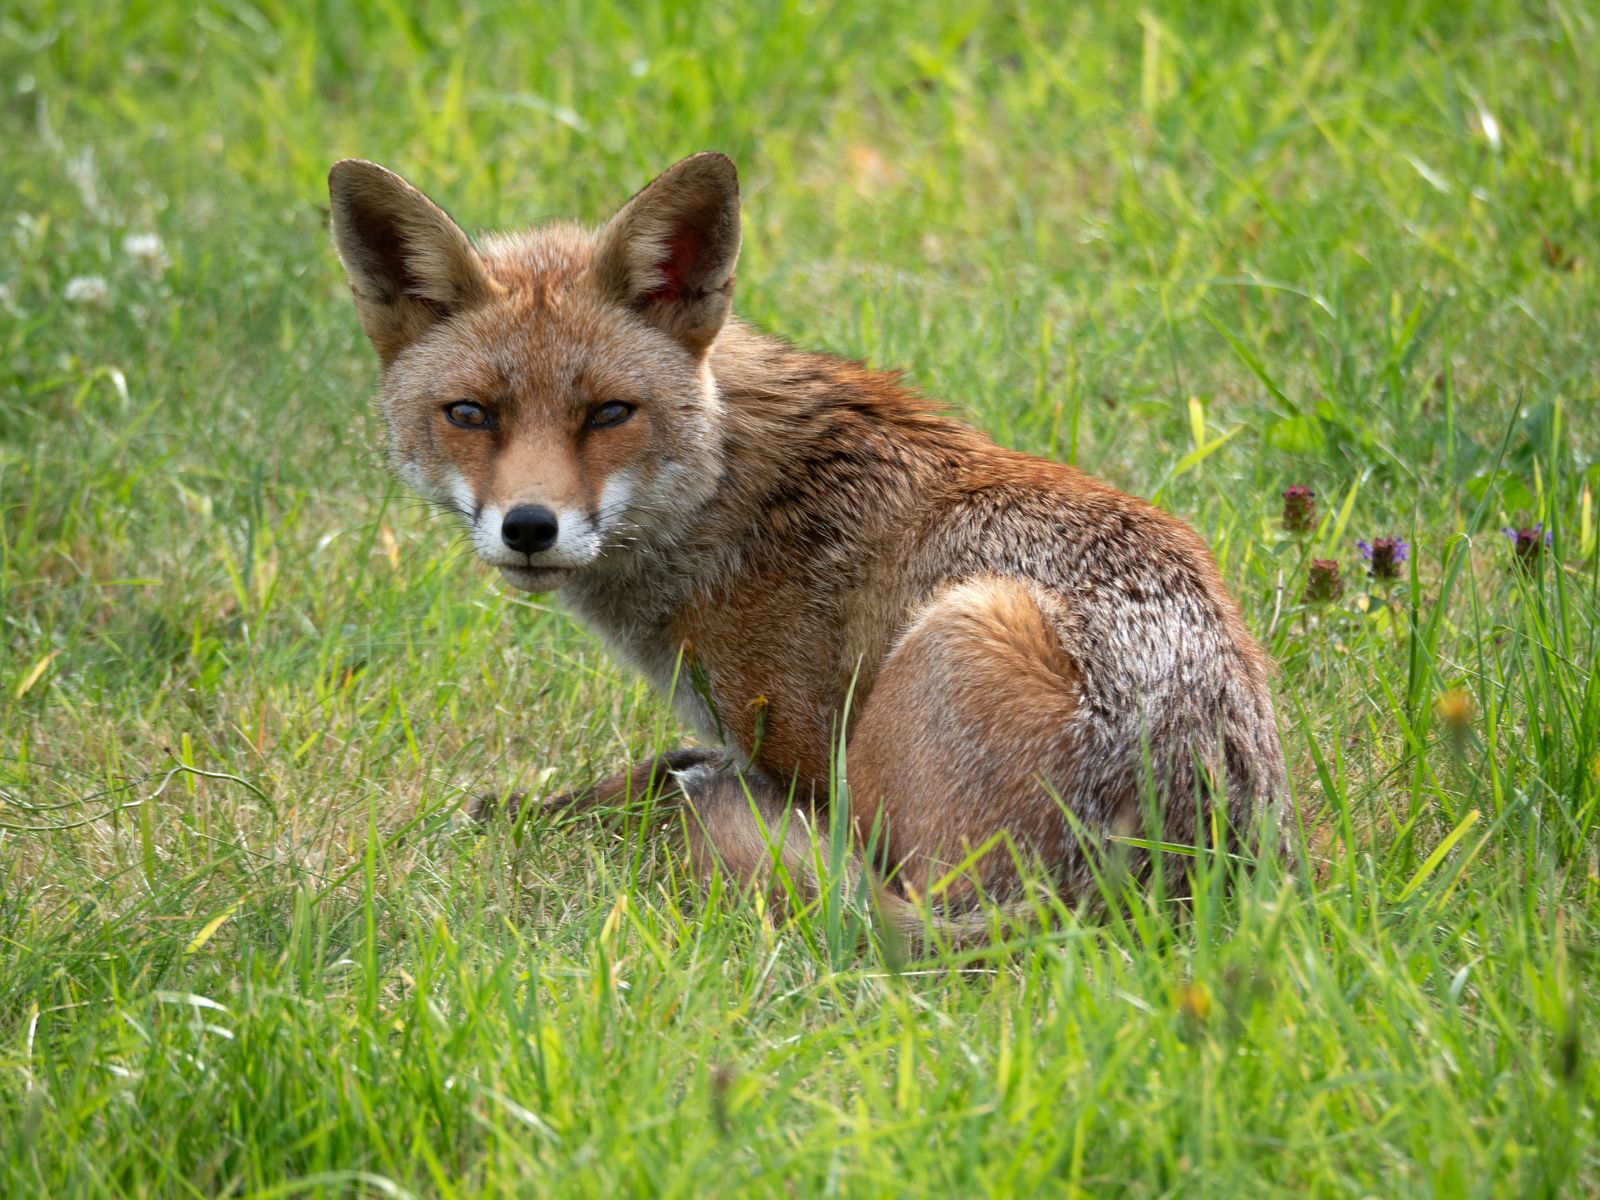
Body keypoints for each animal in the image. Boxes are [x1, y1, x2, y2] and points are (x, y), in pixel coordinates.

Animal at [328, 151, 1289, 929]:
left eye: (608, 413)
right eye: (469, 415)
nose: (530, 527)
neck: (728, 497)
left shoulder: (801, 756)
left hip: (963, 636)